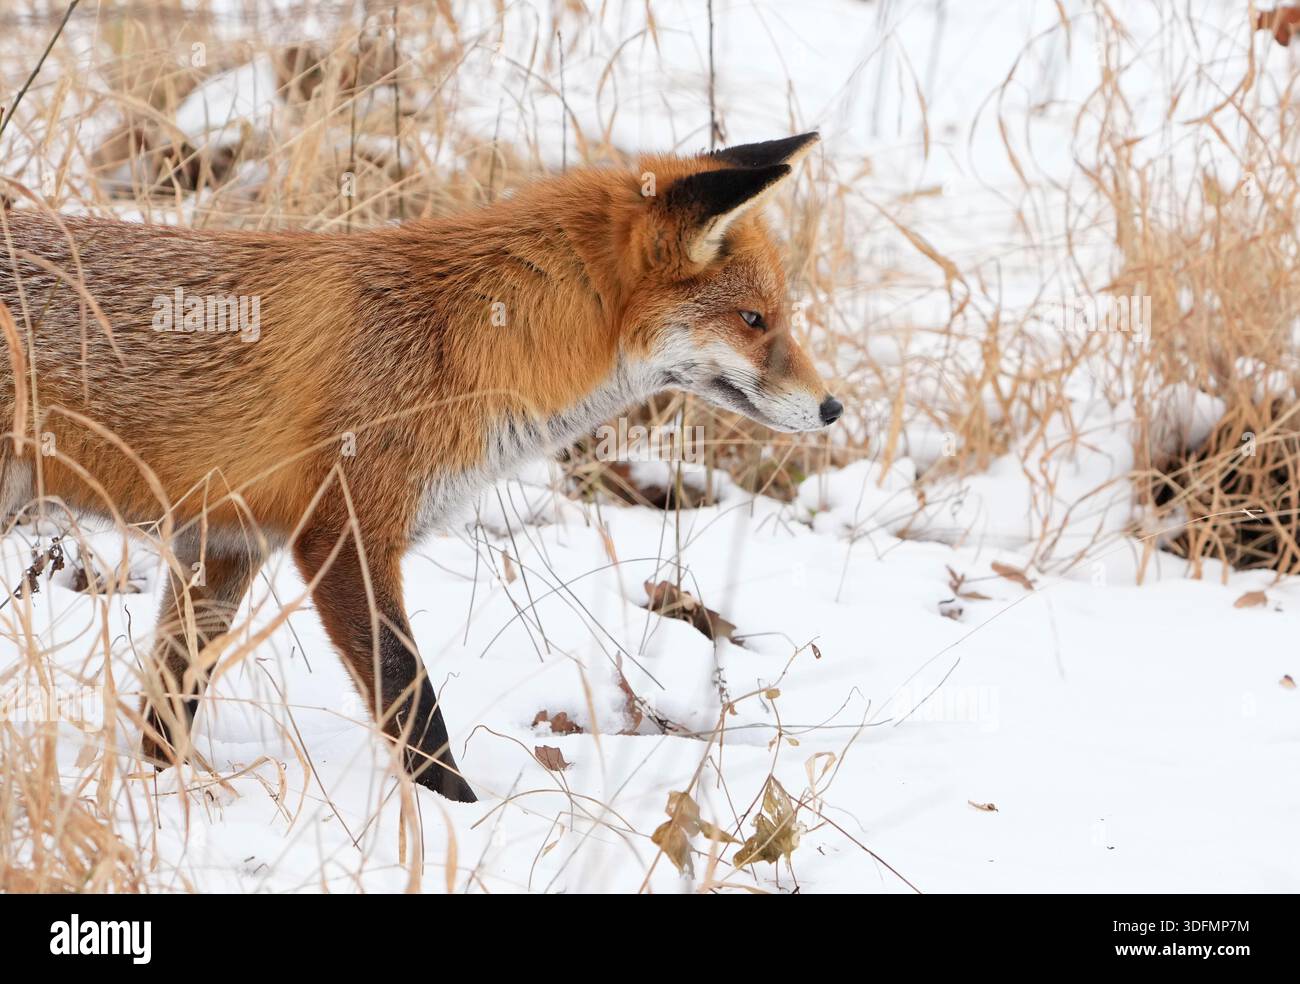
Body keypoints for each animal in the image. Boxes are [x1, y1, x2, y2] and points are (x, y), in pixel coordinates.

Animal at [0, 131, 841, 802]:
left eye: (778, 317)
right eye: (754, 320)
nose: (833, 409)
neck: (463, 338)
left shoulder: (222, 543)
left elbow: (171, 701)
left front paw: (162, 788)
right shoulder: (343, 536)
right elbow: (415, 707)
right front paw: (457, 818)